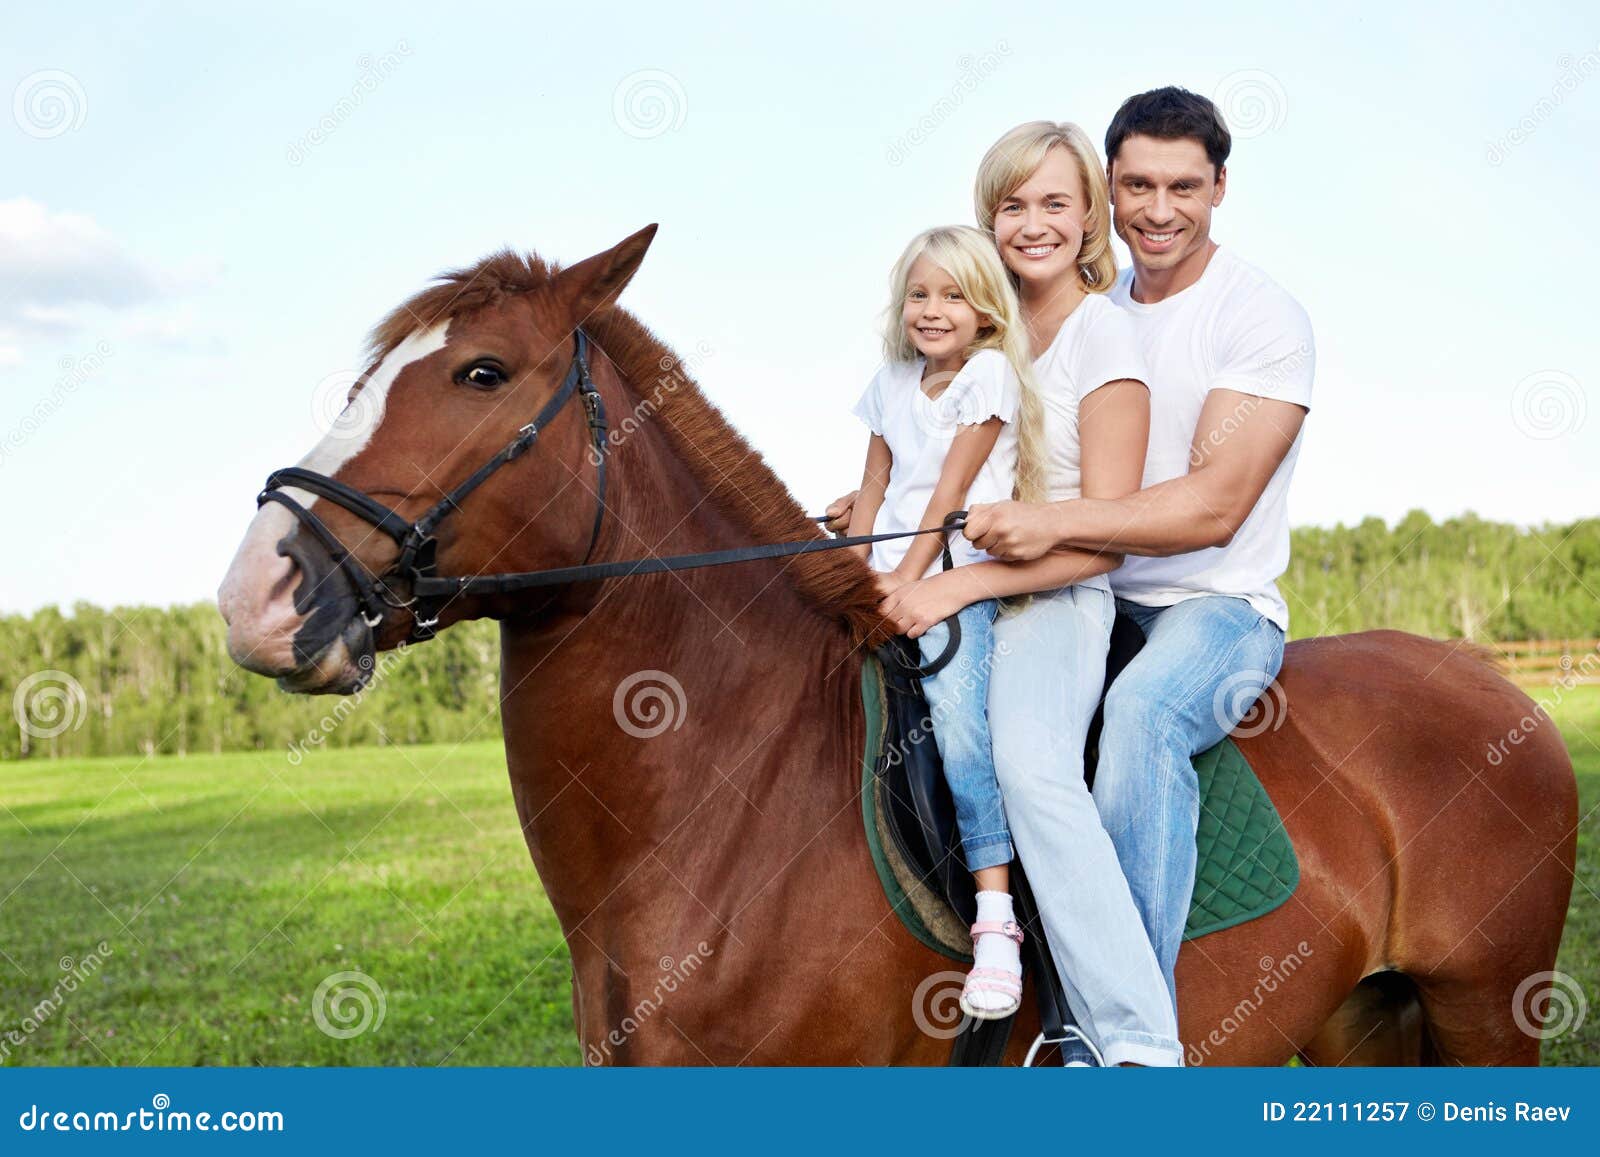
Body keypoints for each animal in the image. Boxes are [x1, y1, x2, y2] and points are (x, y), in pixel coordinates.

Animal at [218, 226, 1577, 1065]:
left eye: (481, 372)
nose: (258, 594)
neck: (738, 805)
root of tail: (1490, 686)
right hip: (1359, 1015)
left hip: (1486, 1010)